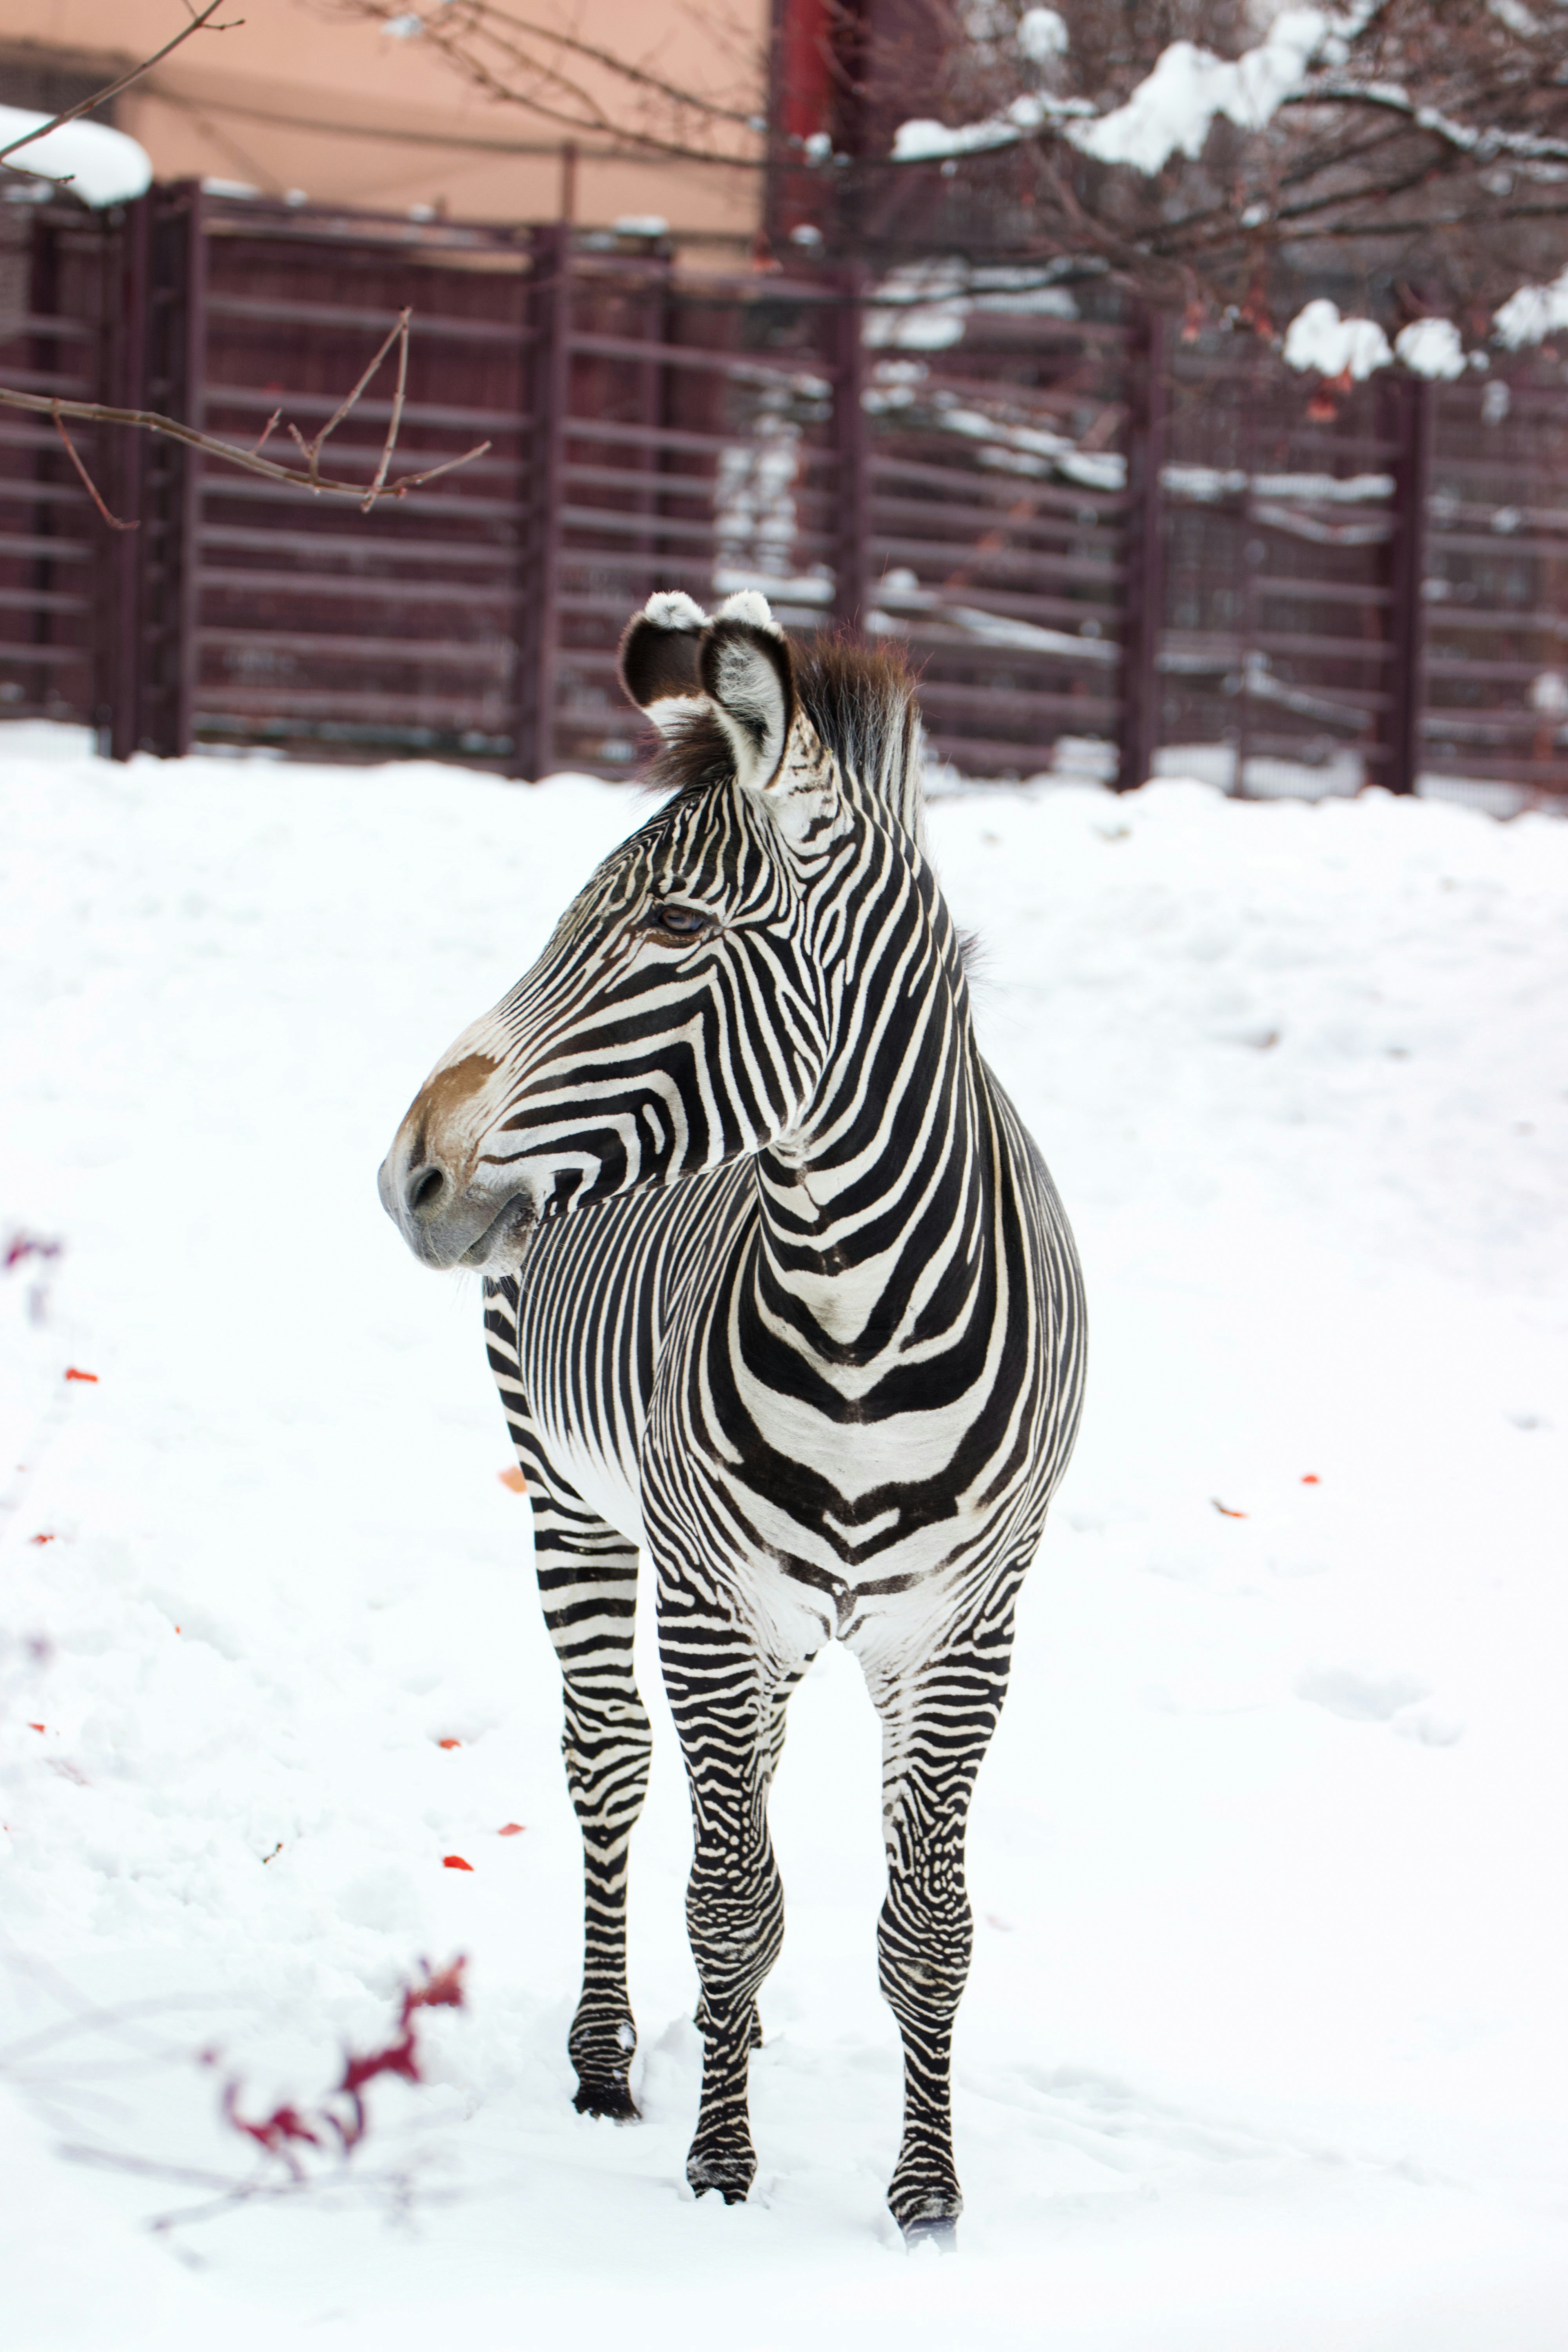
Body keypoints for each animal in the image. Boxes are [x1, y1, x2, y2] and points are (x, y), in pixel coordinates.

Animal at [378, 588, 1085, 2245]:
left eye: (675, 932)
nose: (408, 1173)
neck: (862, 1313)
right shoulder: (708, 1597)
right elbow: (725, 1892)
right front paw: (719, 2171)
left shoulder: (962, 1631)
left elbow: (926, 1920)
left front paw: (925, 2197)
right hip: (575, 1500)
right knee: (614, 1761)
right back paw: (611, 2055)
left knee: (736, 1792)